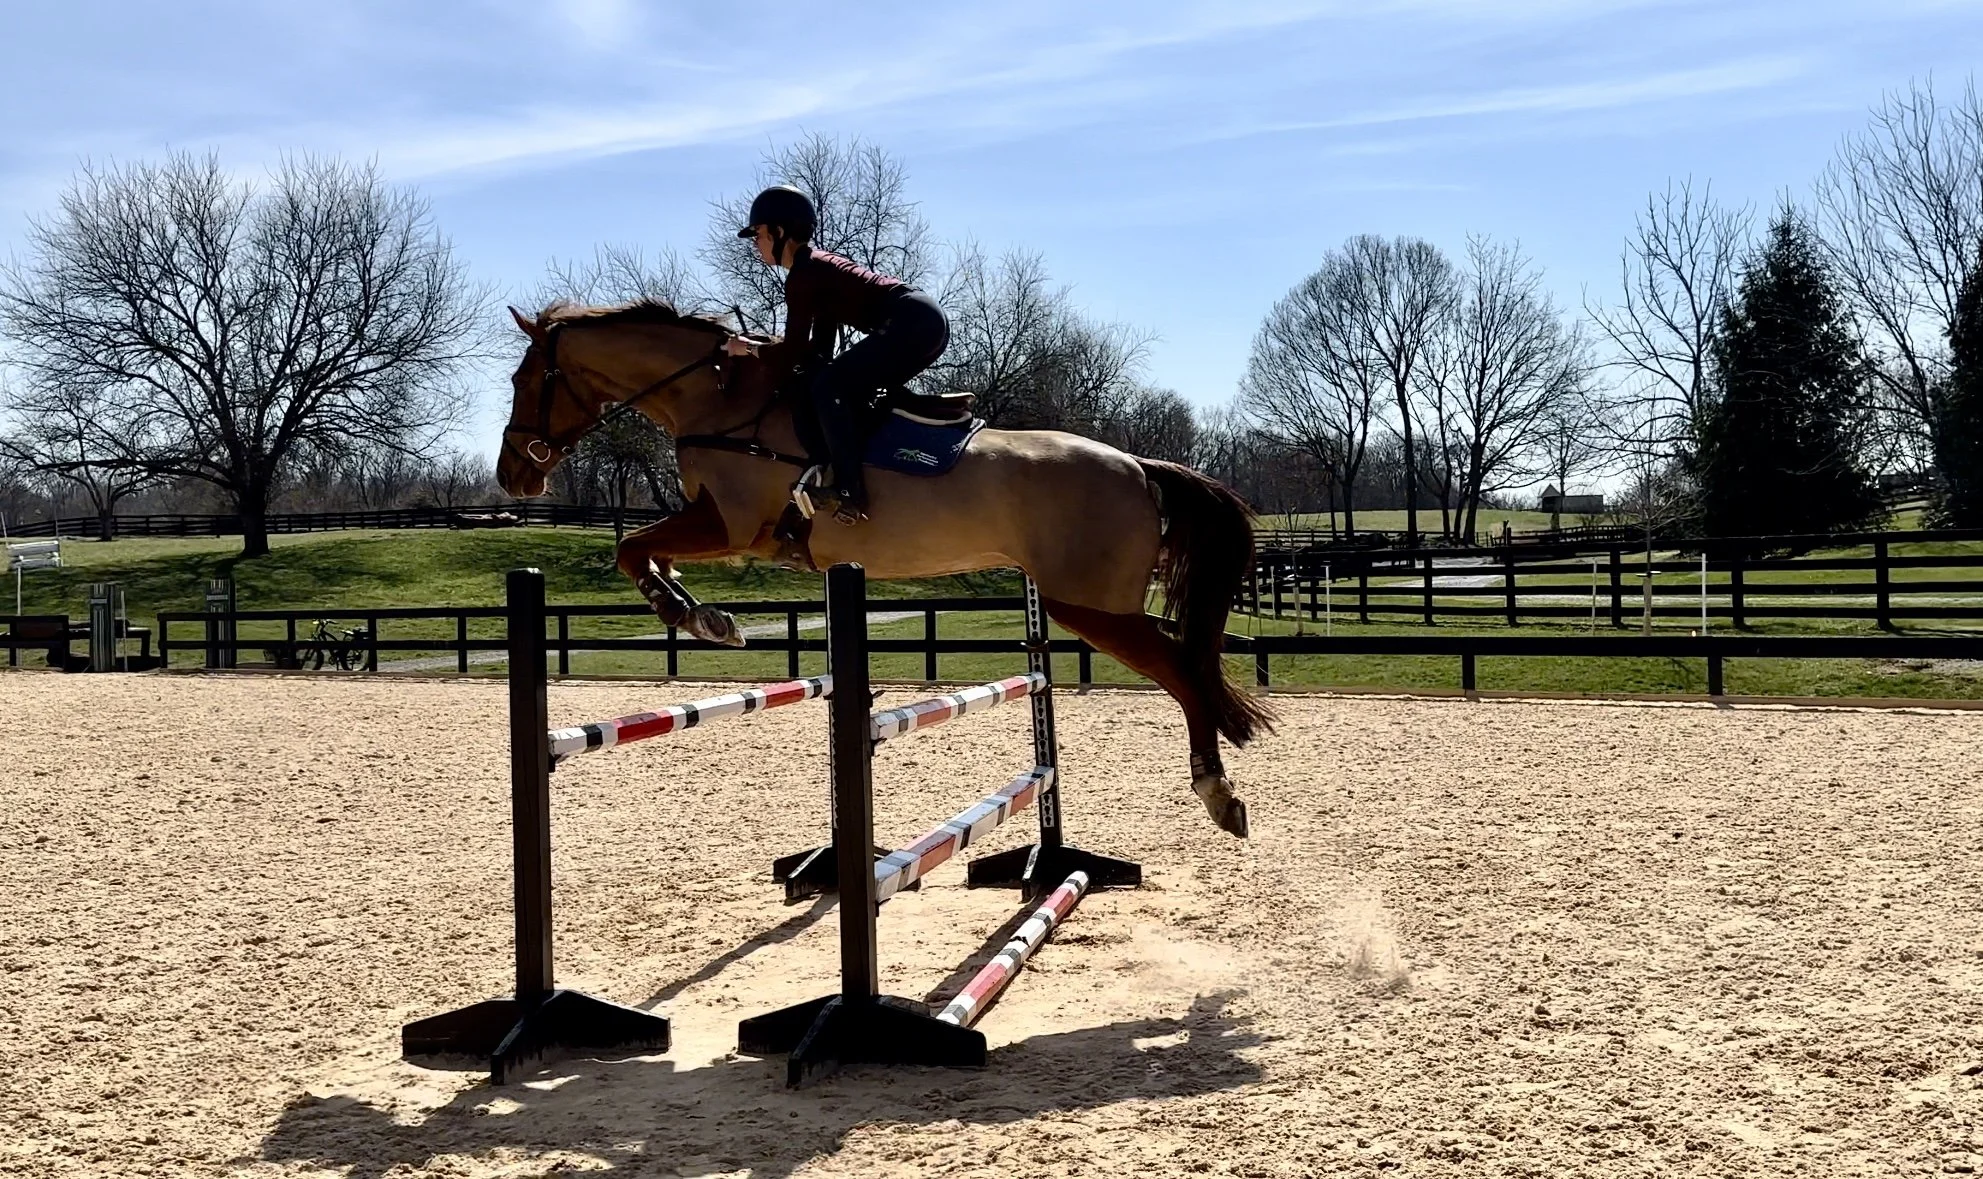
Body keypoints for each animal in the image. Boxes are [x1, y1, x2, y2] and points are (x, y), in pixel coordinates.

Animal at [495, 300, 1272, 837]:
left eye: (525, 378)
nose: (512, 476)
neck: (718, 397)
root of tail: (1137, 464)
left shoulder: (731, 524)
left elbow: (632, 546)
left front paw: (693, 615)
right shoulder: (721, 525)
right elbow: (644, 548)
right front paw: (703, 614)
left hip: (1086, 605)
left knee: (1183, 672)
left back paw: (1218, 792)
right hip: (1083, 604)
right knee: (1185, 668)